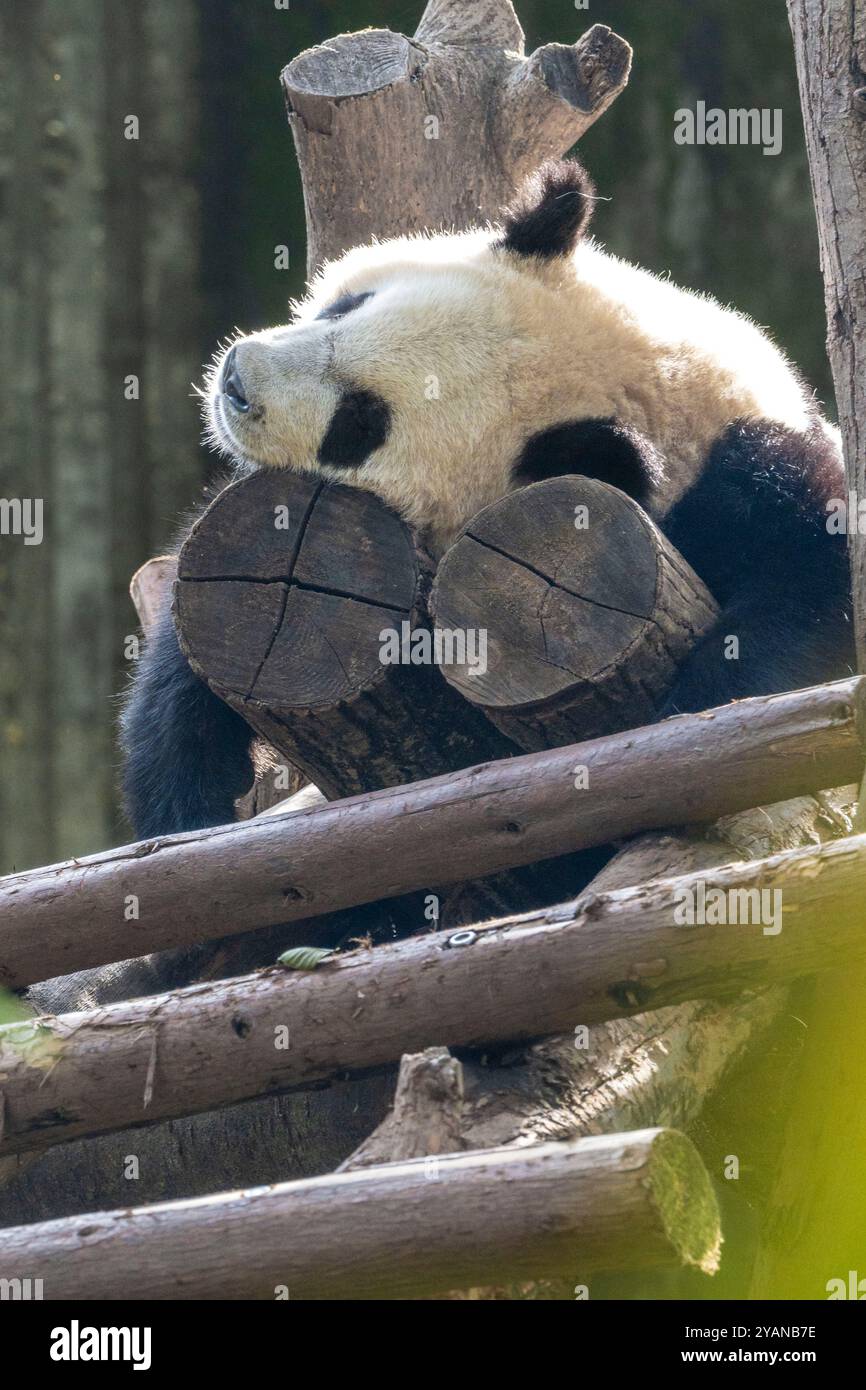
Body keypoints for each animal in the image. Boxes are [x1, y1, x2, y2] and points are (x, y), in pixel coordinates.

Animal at [122, 158, 854, 841]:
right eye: (347, 309)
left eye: (361, 423)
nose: (236, 381)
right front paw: (189, 801)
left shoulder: (767, 495)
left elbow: (808, 607)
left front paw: (690, 723)